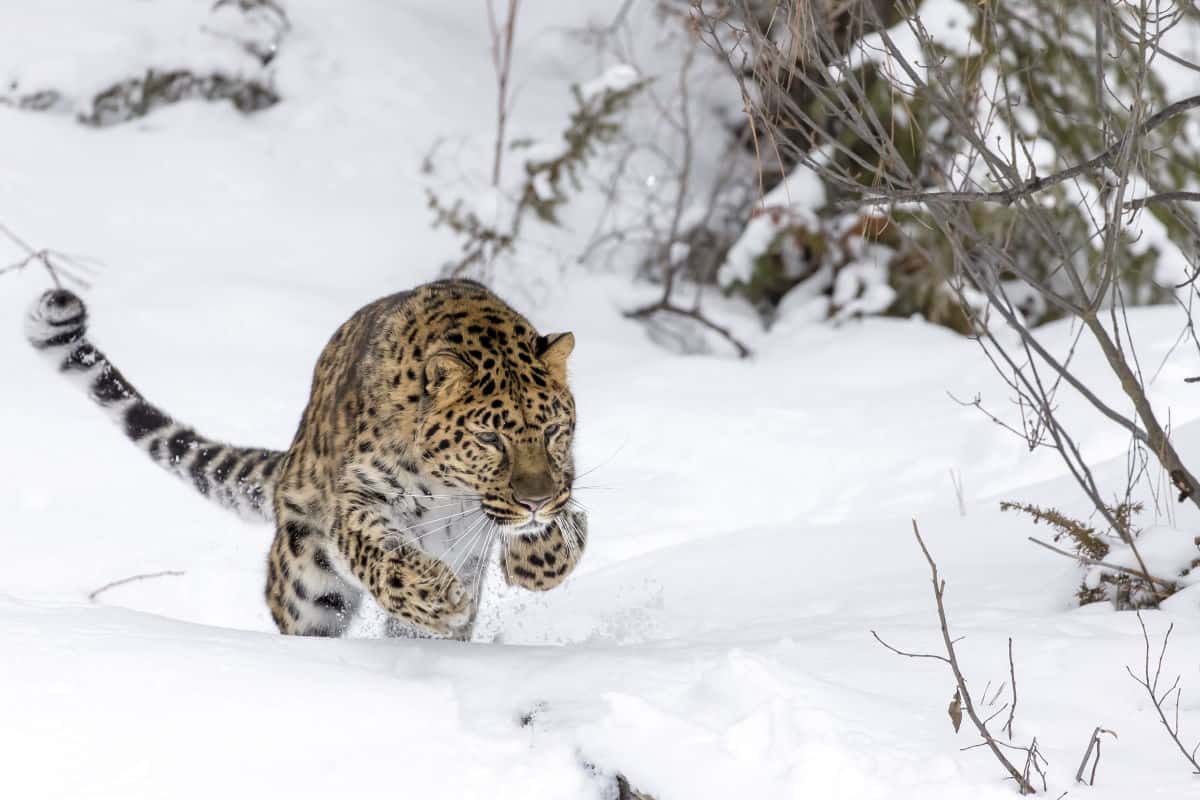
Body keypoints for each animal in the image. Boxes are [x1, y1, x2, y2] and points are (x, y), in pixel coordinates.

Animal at [25, 279, 586, 639]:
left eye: (553, 431)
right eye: (490, 439)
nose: (534, 502)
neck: (452, 491)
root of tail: (291, 460)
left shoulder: (558, 479)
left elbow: (566, 517)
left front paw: (541, 557)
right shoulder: (356, 497)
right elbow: (380, 549)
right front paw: (432, 592)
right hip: (305, 581)